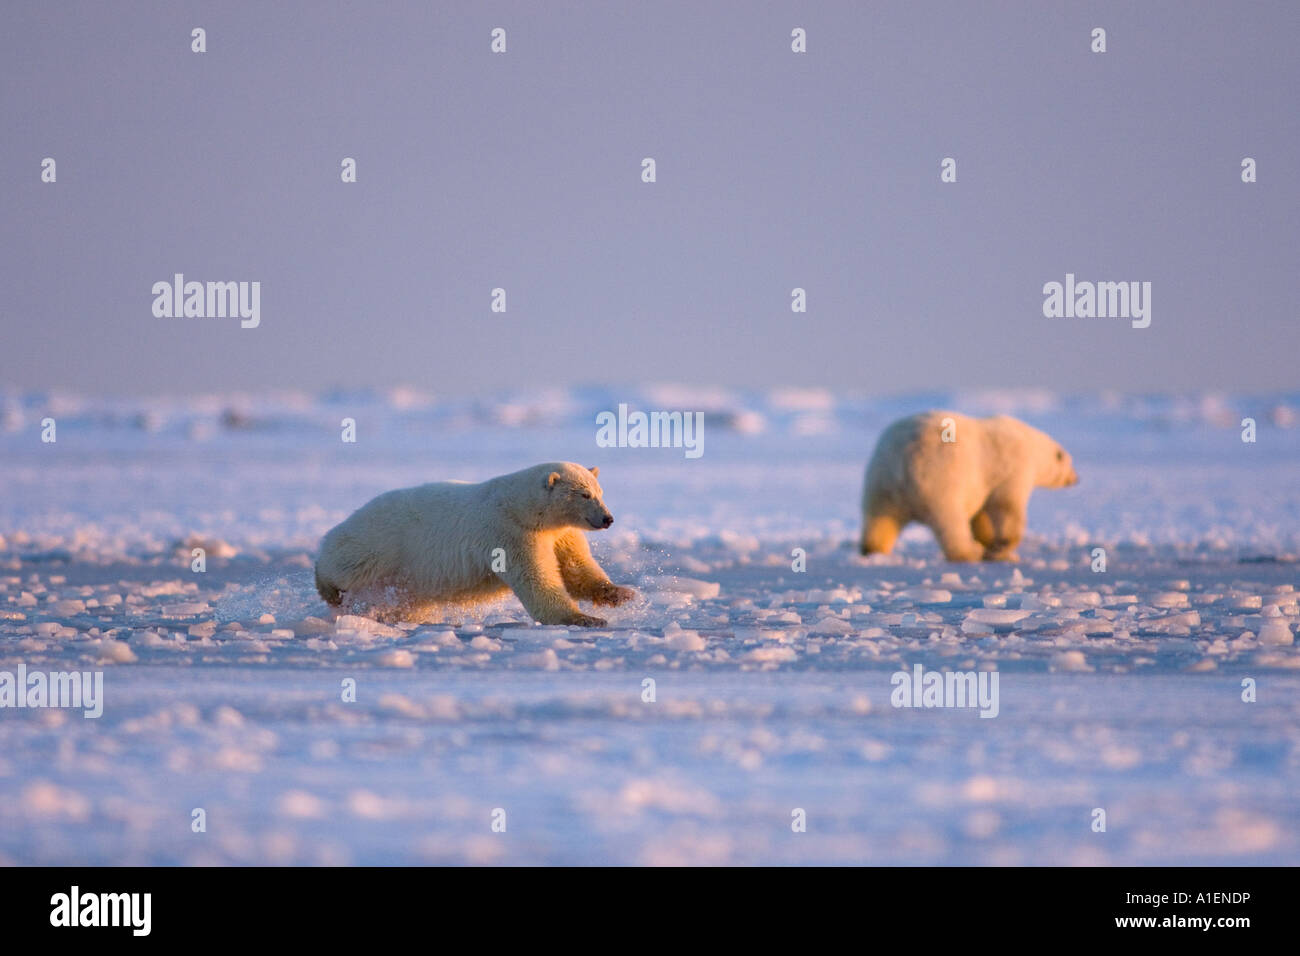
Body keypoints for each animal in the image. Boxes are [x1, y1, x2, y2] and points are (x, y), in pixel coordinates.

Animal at [314, 462, 635, 626]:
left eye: (600, 492)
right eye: (584, 495)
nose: (607, 519)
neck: (522, 507)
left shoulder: (560, 533)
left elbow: (575, 568)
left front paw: (620, 593)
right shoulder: (510, 534)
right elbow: (537, 579)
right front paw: (585, 618)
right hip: (379, 542)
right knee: (345, 562)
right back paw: (329, 587)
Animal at [859, 411, 1078, 562]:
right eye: (1070, 464)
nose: (1076, 478)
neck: (1030, 443)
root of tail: (901, 464)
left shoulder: (981, 484)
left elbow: (981, 516)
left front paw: (990, 545)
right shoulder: (1013, 469)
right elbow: (1007, 507)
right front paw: (1002, 550)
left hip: (880, 483)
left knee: (879, 520)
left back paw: (873, 549)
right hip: (939, 479)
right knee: (950, 521)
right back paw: (970, 552)